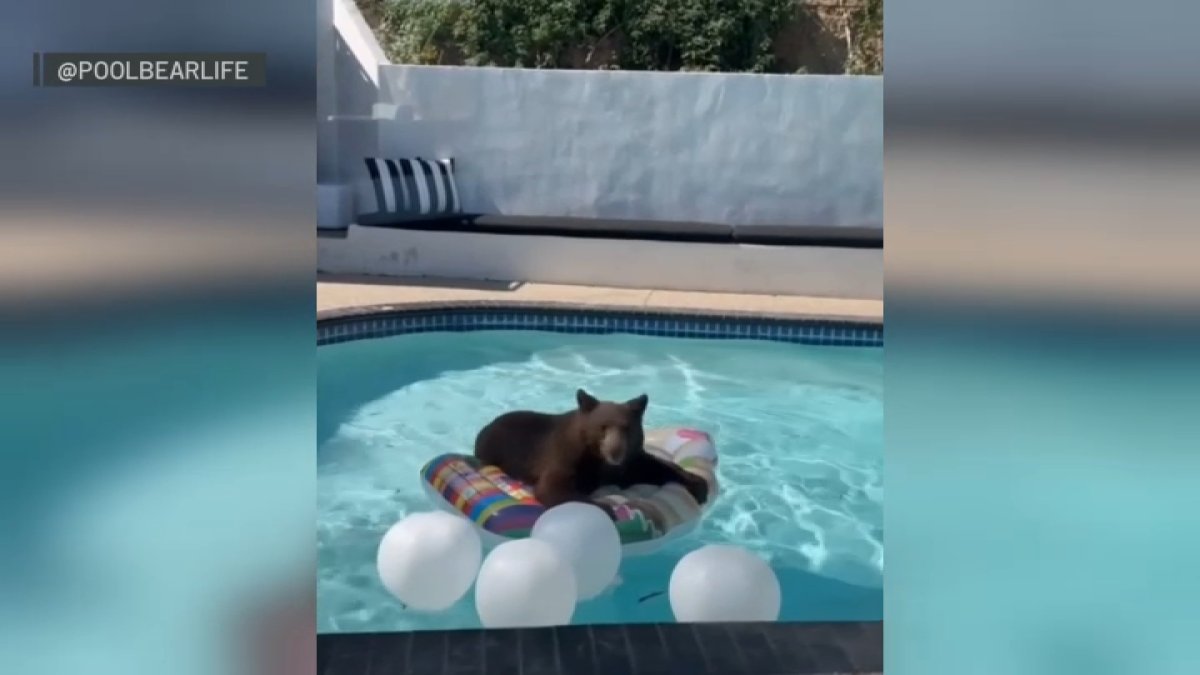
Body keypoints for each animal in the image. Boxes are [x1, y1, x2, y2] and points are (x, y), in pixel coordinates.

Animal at [473, 389, 710, 515]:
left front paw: (697, 483)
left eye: (627, 428)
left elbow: (655, 466)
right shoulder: (564, 454)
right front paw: (607, 509)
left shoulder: (629, 462)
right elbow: (553, 488)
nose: (616, 451)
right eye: (603, 427)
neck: (599, 459)